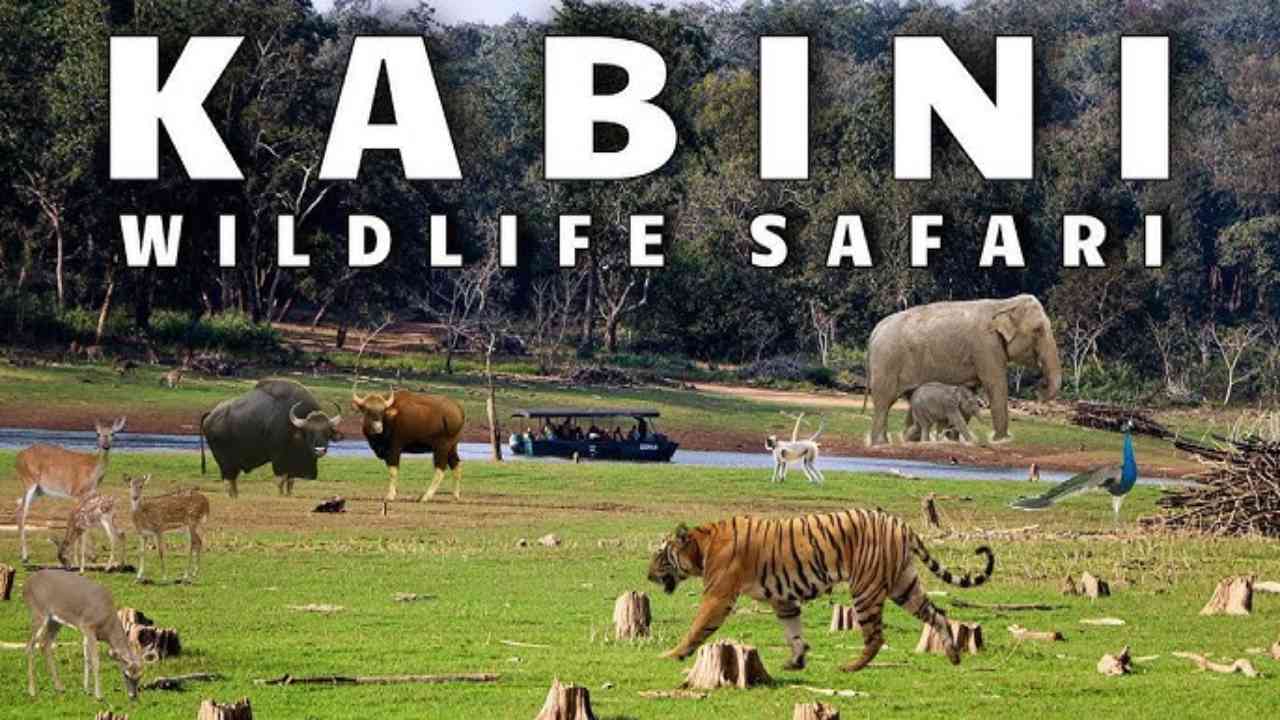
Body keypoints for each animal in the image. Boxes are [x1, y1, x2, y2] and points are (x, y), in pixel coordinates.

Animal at [864, 294, 1062, 445]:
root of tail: (874, 331)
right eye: (1038, 330)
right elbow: (996, 385)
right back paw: (881, 443)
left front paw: (953, 440)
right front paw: (1002, 440)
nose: (1039, 387)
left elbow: (971, 391)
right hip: (886, 362)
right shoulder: (985, 346)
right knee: (884, 401)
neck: (1003, 303)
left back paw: (909, 439)